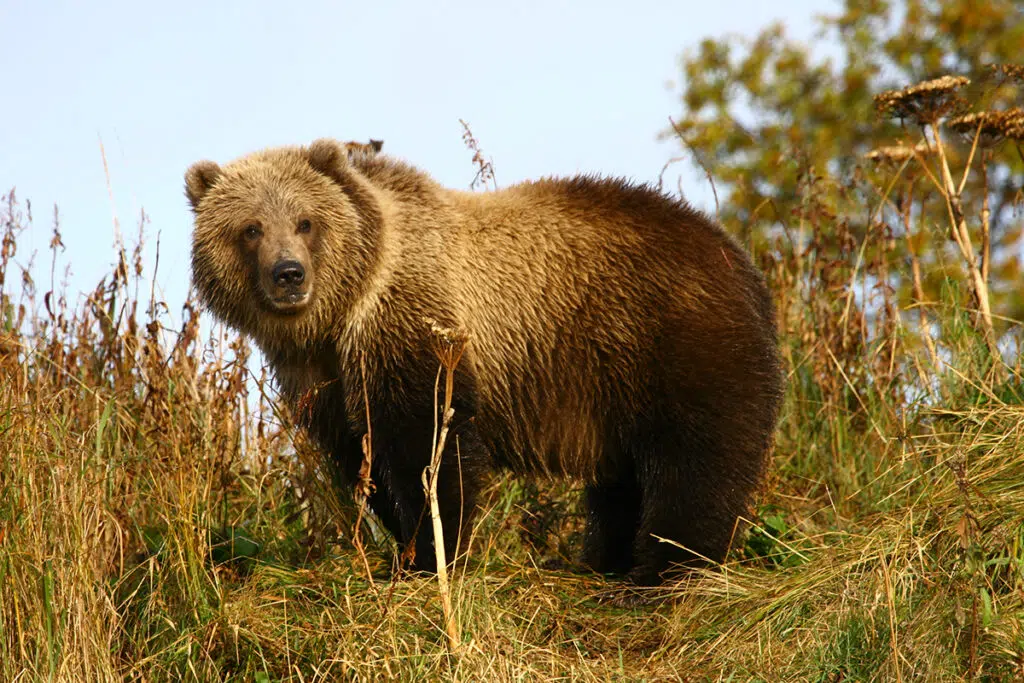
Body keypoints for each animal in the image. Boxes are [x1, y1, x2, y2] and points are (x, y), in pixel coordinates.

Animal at [184, 138, 784, 586]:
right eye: (251, 228)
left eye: (306, 221)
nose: (288, 274)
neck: (340, 319)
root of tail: (741, 260)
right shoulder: (322, 378)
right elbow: (364, 457)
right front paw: (400, 546)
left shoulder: (416, 331)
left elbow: (429, 449)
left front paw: (432, 557)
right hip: (617, 379)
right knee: (623, 482)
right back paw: (603, 562)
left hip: (673, 340)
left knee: (697, 461)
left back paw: (662, 570)